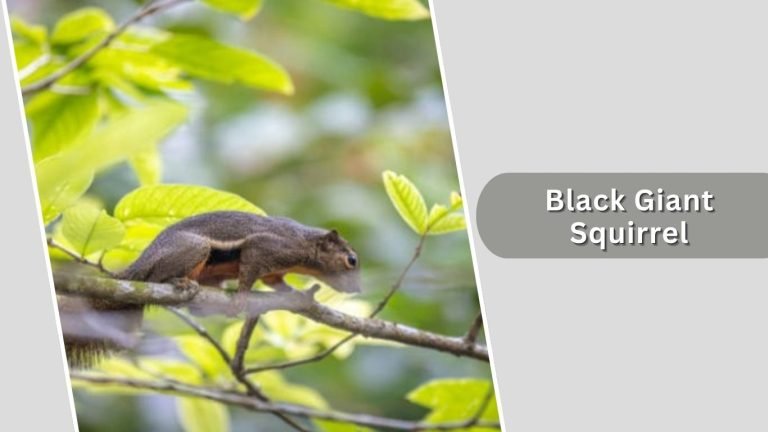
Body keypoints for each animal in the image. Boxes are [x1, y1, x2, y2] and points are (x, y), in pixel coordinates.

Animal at [61, 211, 361, 368]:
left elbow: (275, 283)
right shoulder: (267, 247)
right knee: (157, 276)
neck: (306, 246)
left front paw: (295, 294)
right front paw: (242, 295)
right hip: (192, 248)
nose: (357, 289)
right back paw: (177, 282)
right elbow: (250, 271)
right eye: (351, 260)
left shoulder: (275, 271)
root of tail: (141, 263)